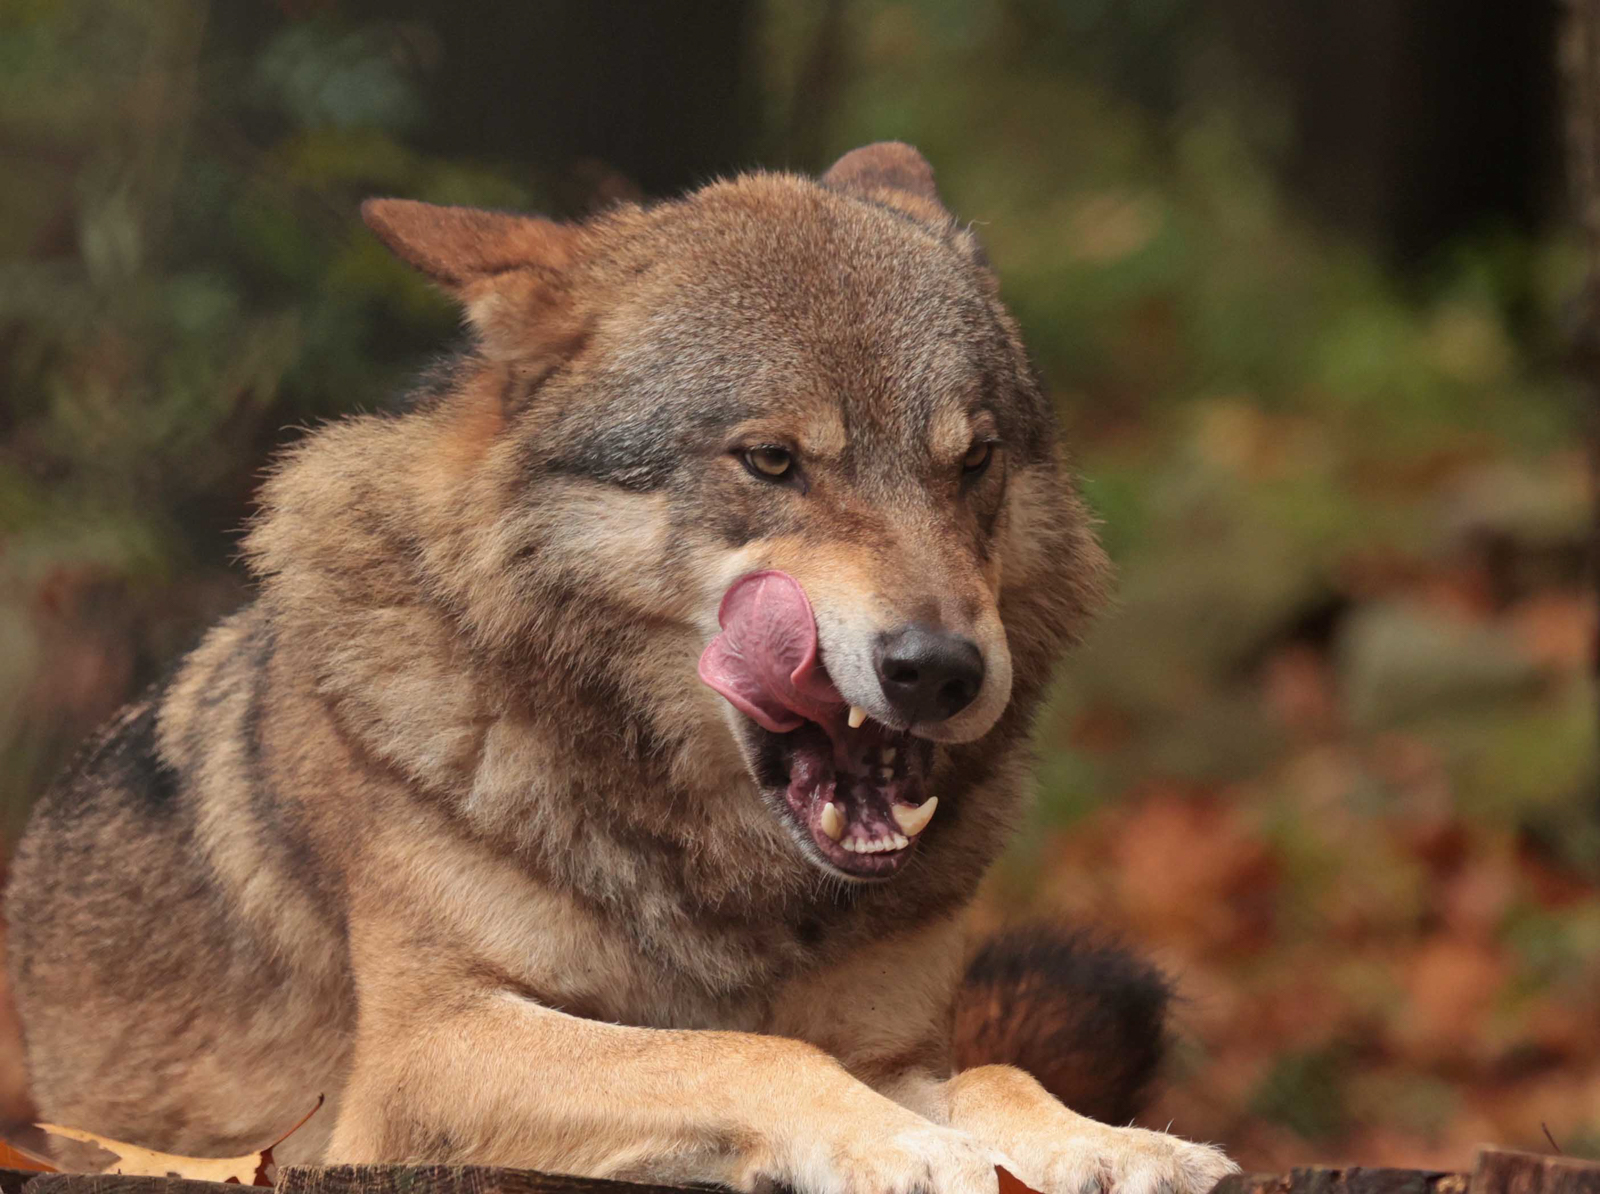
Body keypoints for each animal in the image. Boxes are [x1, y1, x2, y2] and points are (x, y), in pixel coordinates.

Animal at [6, 143, 1235, 1194]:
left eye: (974, 461)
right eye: (771, 461)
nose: (939, 669)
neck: (719, 891)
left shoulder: (896, 1046)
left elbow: (992, 1073)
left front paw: (1116, 1146)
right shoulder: (416, 1063)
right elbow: (741, 1055)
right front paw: (908, 1149)